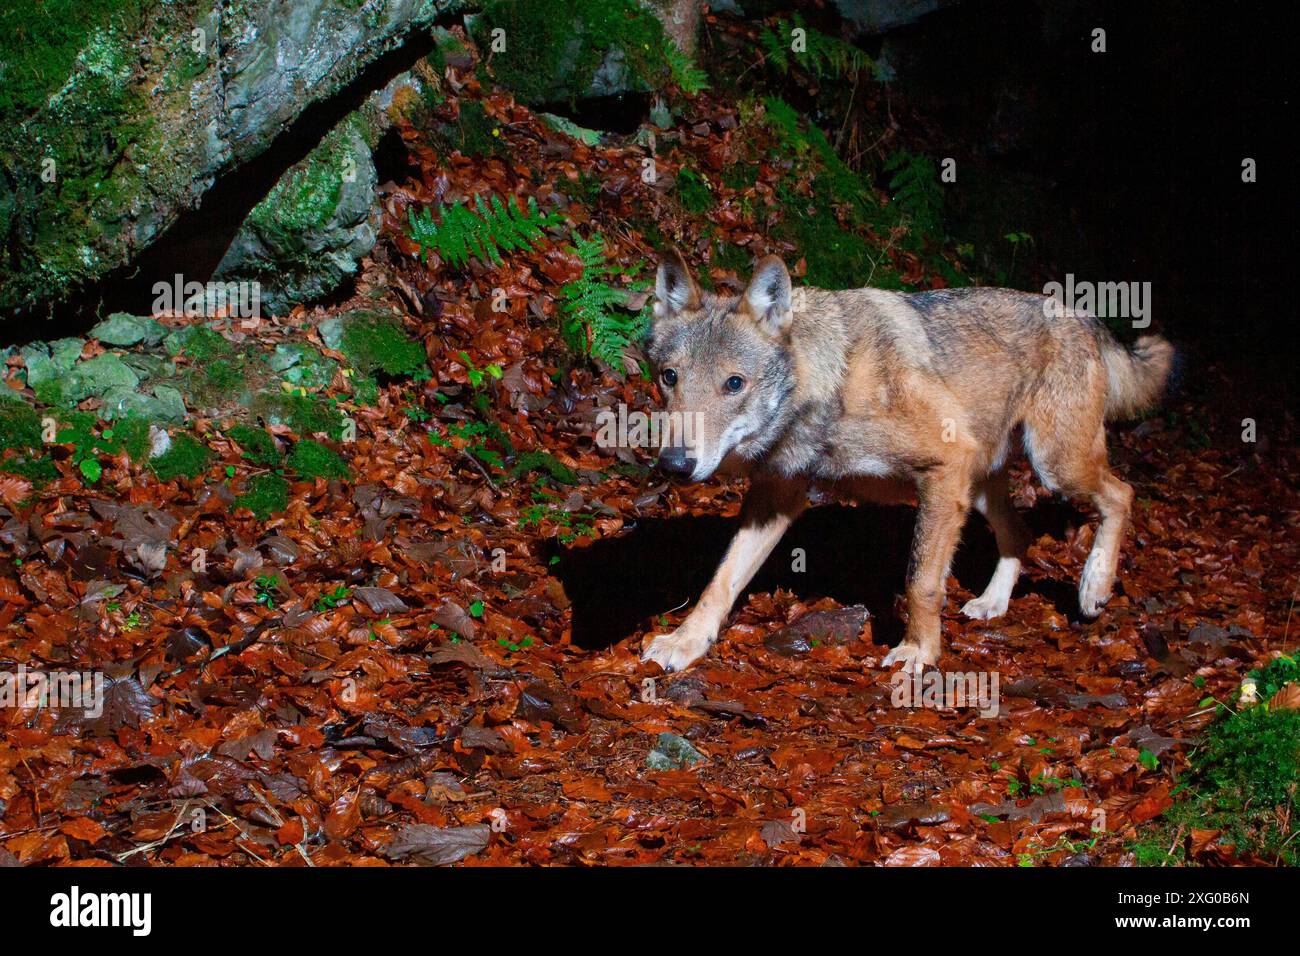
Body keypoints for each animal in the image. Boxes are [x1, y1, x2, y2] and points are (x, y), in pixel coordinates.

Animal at [641, 250, 1174, 674]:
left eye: (734, 383)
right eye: (669, 377)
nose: (674, 464)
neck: (832, 386)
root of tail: (1081, 314)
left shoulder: (943, 467)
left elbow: (921, 582)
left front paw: (919, 652)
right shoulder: (778, 497)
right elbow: (719, 582)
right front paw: (685, 643)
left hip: (1054, 467)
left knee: (1122, 494)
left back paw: (1093, 586)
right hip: (981, 488)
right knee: (1020, 533)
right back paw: (993, 602)